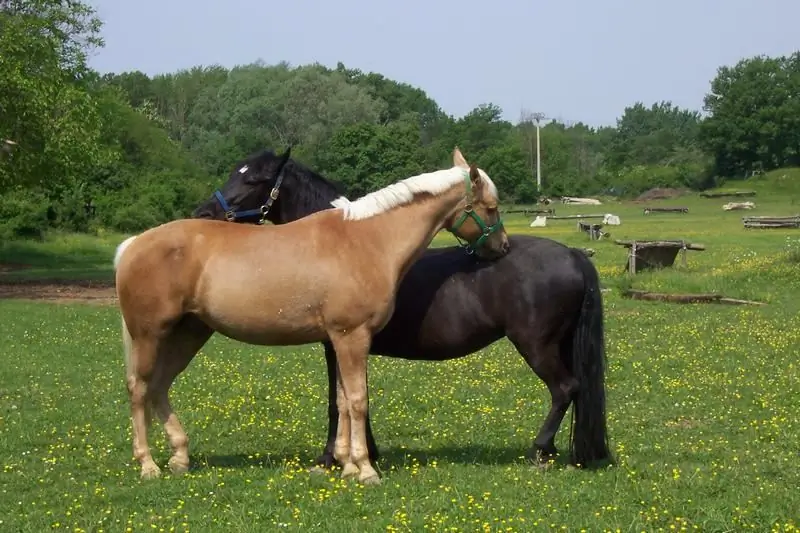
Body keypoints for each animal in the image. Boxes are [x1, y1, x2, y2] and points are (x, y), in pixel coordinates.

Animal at [112, 148, 510, 484]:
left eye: (252, 179)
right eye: (491, 207)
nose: (502, 246)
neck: (367, 240)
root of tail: (133, 245)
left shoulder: (341, 340)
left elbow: (343, 402)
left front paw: (347, 465)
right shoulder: (351, 337)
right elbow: (357, 401)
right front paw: (365, 469)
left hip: (188, 334)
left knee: (159, 385)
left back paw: (180, 457)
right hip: (150, 334)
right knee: (139, 387)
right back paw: (148, 464)